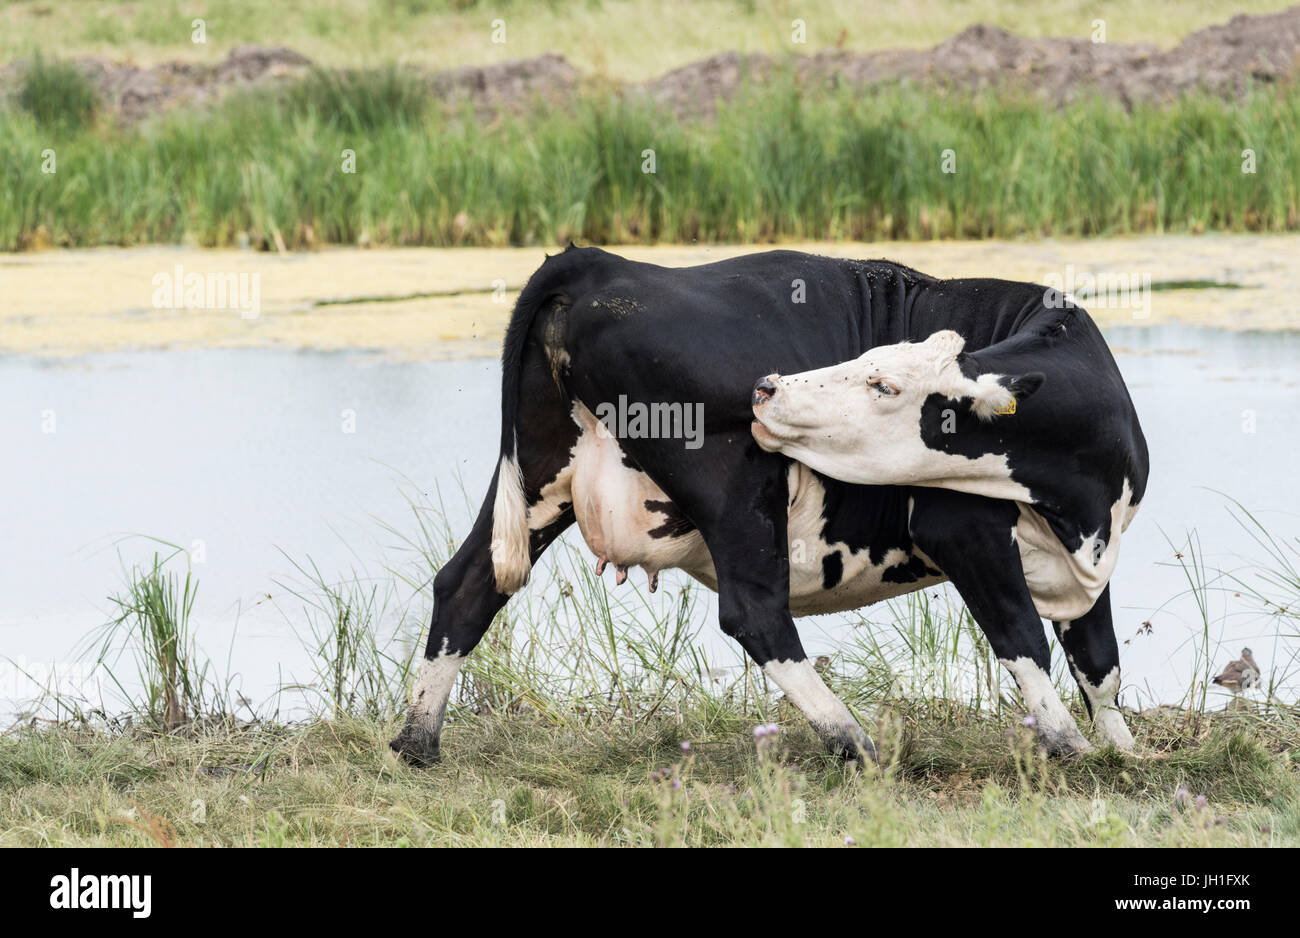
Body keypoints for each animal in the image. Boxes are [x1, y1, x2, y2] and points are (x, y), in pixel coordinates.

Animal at [387, 244, 1149, 763]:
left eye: (882, 381)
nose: (770, 387)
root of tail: (601, 266)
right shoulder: (962, 530)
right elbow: (1023, 639)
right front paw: (1069, 748)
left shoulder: (1094, 558)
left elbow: (1099, 661)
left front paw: (1121, 754)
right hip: (734, 479)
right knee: (754, 613)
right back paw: (854, 742)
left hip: (538, 479)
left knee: (467, 583)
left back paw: (418, 741)